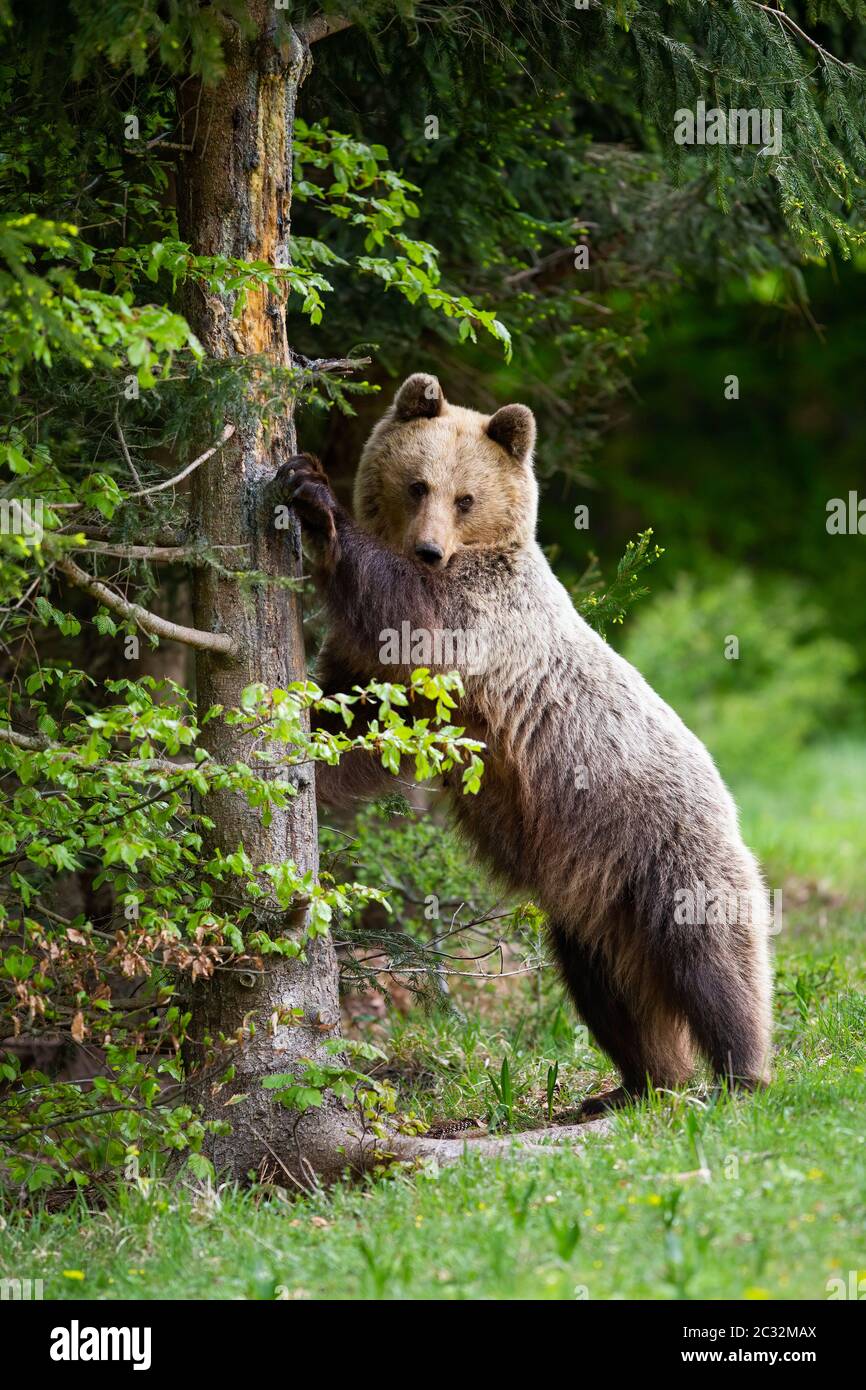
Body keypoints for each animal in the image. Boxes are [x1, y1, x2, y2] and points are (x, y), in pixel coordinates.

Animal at [276, 372, 773, 1114]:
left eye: (465, 497)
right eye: (417, 484)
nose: (429, 548)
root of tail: (727, 800)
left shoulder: (479, 619)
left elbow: (409, 608)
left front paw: (316, 496)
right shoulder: (390, 683)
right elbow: (353, 721)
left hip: (669, 850)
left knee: (713, 961)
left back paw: (742, 1075)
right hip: (594, 901)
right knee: (611, 992)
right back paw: (635, 1085)